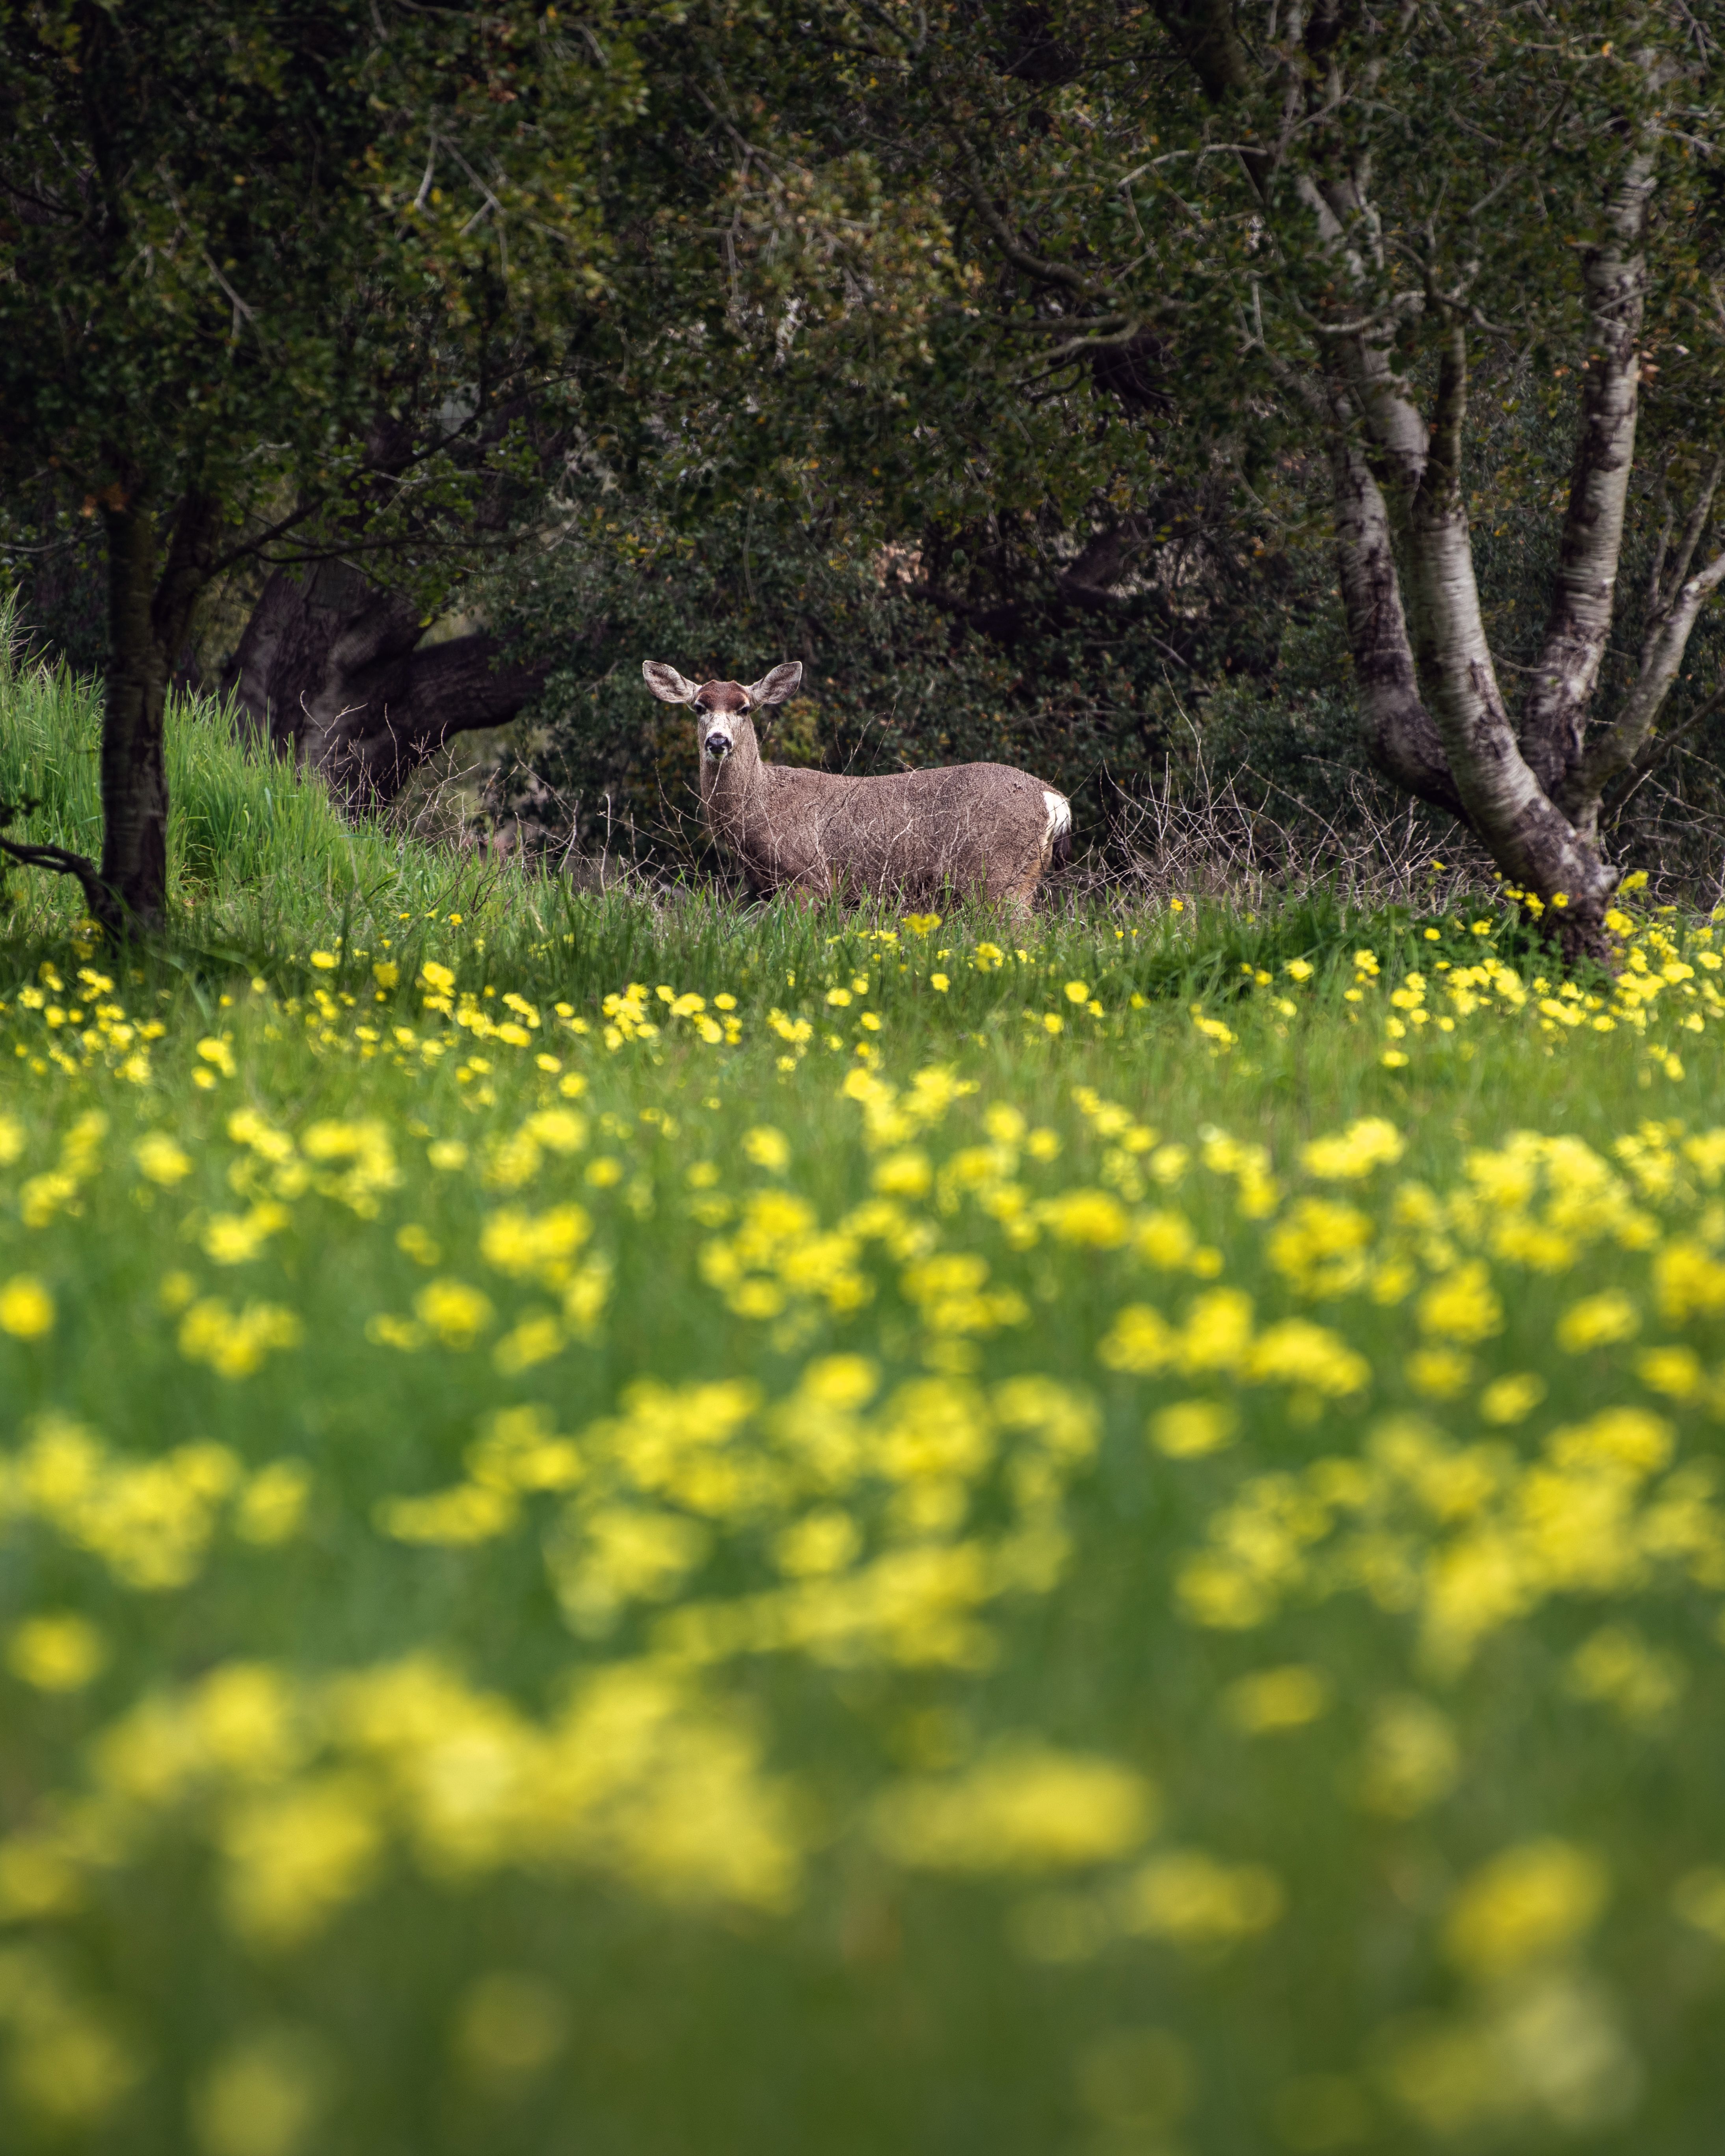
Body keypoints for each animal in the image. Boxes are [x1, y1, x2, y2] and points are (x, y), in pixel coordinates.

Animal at [641, 659, 1072, 914]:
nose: (718, 742)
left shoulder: (808, 876)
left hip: (997, 874)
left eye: (745, 708)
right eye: (699, 706)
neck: (762, 802)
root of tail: (1054, 800)